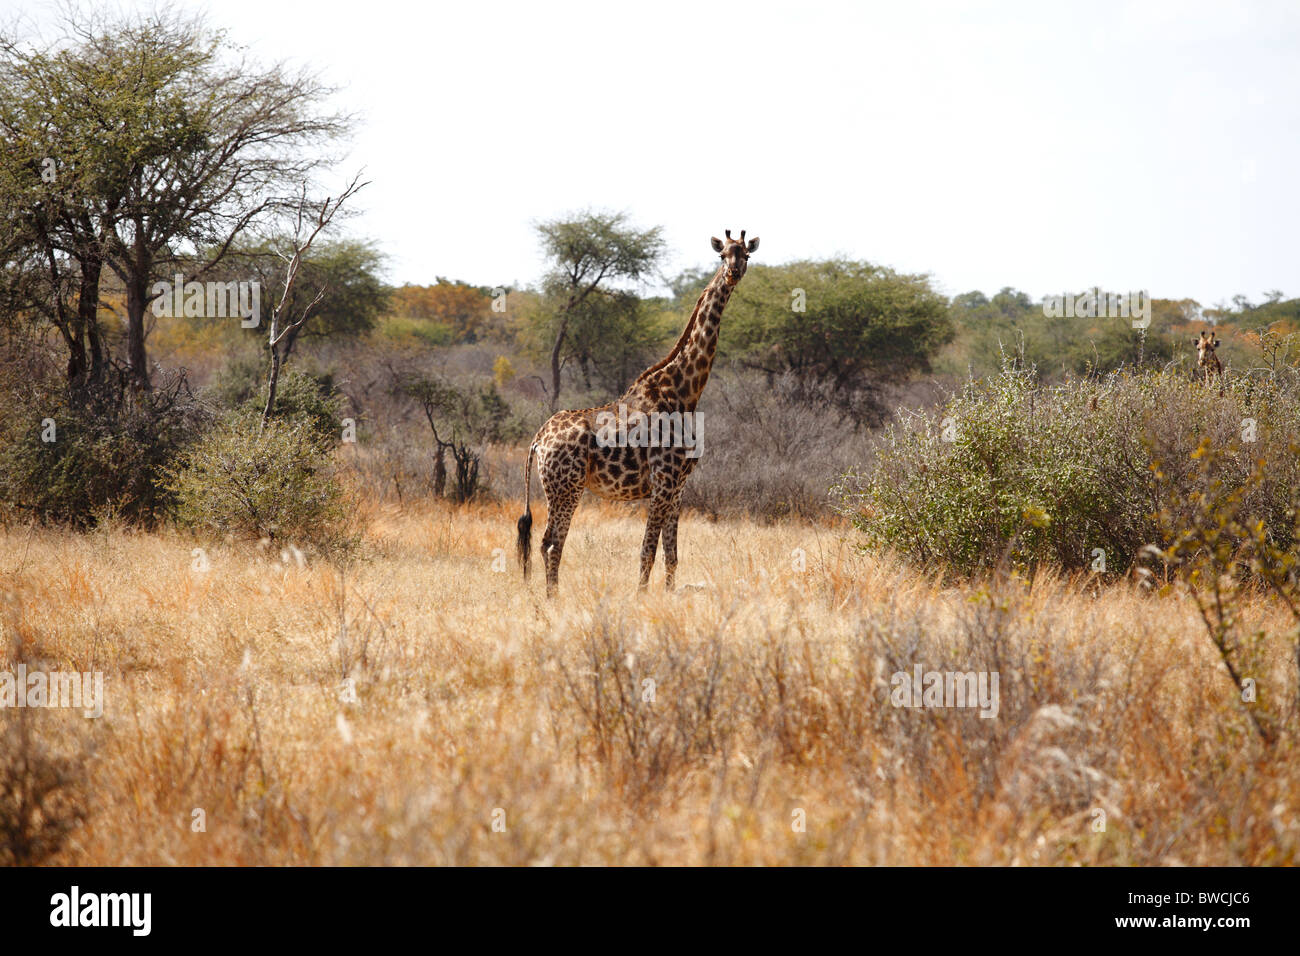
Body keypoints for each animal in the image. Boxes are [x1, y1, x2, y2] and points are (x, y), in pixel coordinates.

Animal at [516, 229, 760, 597]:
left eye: (745, 255)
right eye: (722, 256)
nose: (732, 273)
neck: (684, 392)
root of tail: (537, 440)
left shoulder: (678, 486)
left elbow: (671, 555)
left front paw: (668, 596)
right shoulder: (662, 481)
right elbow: (648, 551)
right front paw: (641, 597)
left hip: (558, 488)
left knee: (547, 544)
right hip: (566, 487)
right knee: (551, 543)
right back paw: (552, 600)